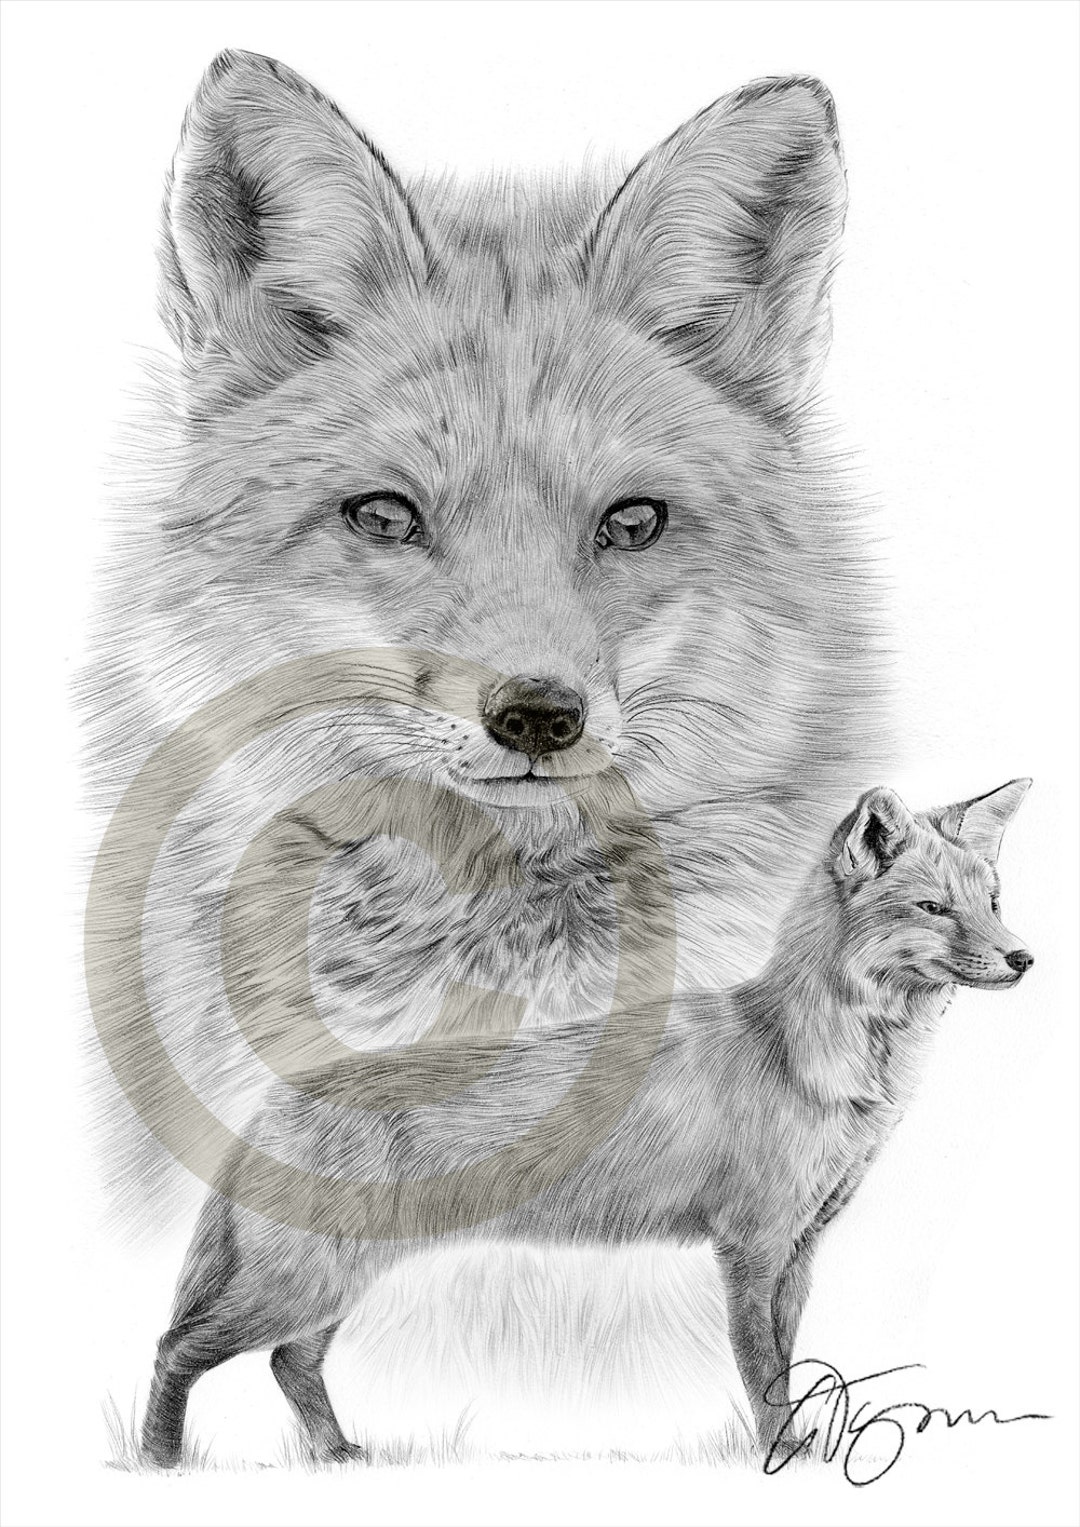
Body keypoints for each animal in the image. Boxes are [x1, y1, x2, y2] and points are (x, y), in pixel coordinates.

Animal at [140, 777, 1033, 1468]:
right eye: (933, 907)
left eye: (992, 903)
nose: (1024, 957)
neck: (805, 1058)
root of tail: (275, 1097)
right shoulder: (749, 1246)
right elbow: (763, 1372)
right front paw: (779, 1455)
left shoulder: (801, 1248)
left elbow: (787, 1362)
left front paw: (801, 1449)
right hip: (300, 1281)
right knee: (176, 1348)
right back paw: (159, 1462)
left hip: (329, 1284)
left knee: (288, 1363)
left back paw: (333, 1454)